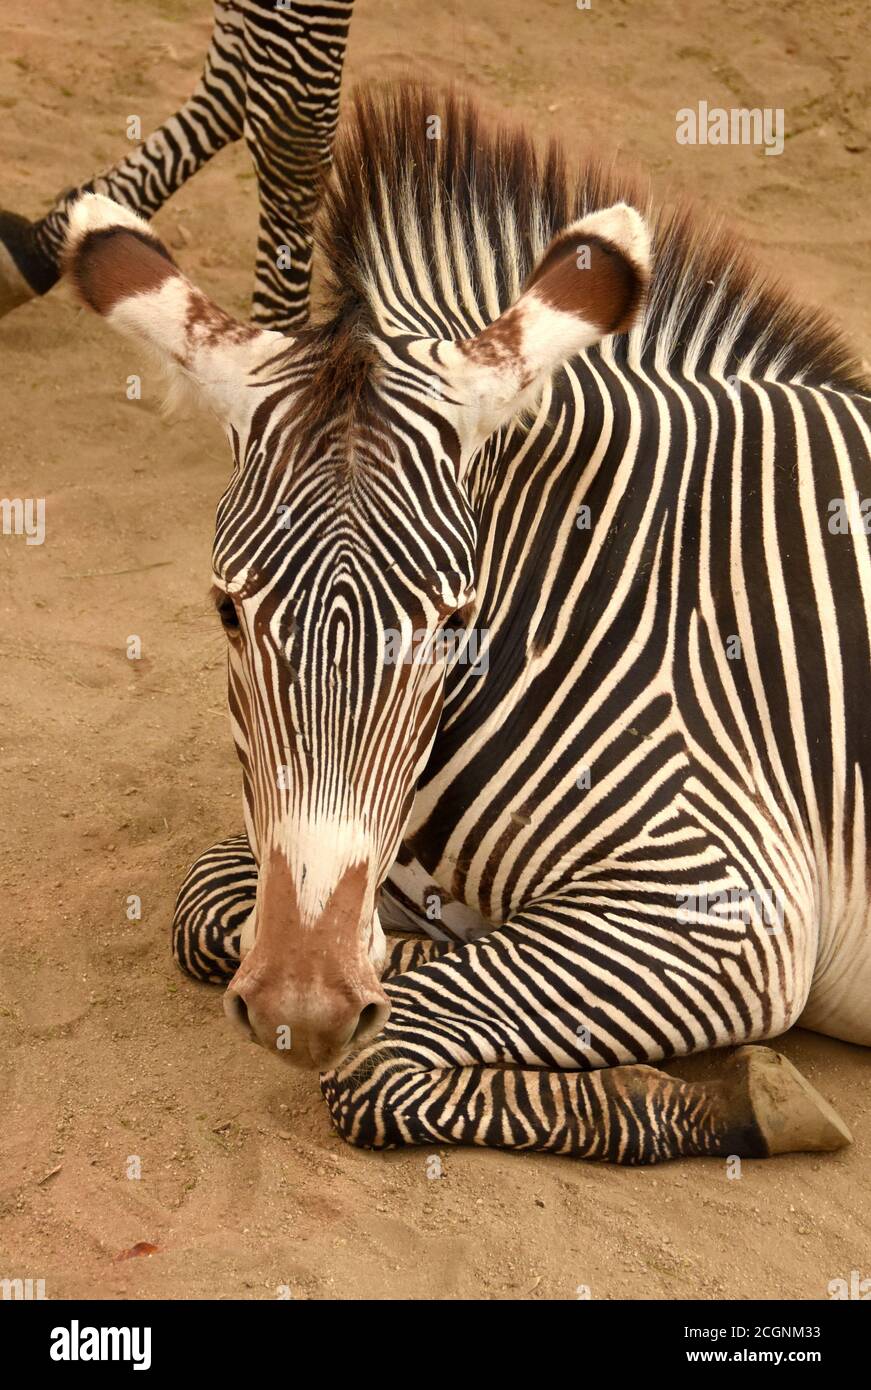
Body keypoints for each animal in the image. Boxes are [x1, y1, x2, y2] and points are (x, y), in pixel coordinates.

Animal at [63, 84, 871, 1162]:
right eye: (227, 609)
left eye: (453, 619)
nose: (303, 1004)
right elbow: (208, 896)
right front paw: (399, 946)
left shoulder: (726, 898)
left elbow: (378, 1064)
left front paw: (741, 1098)